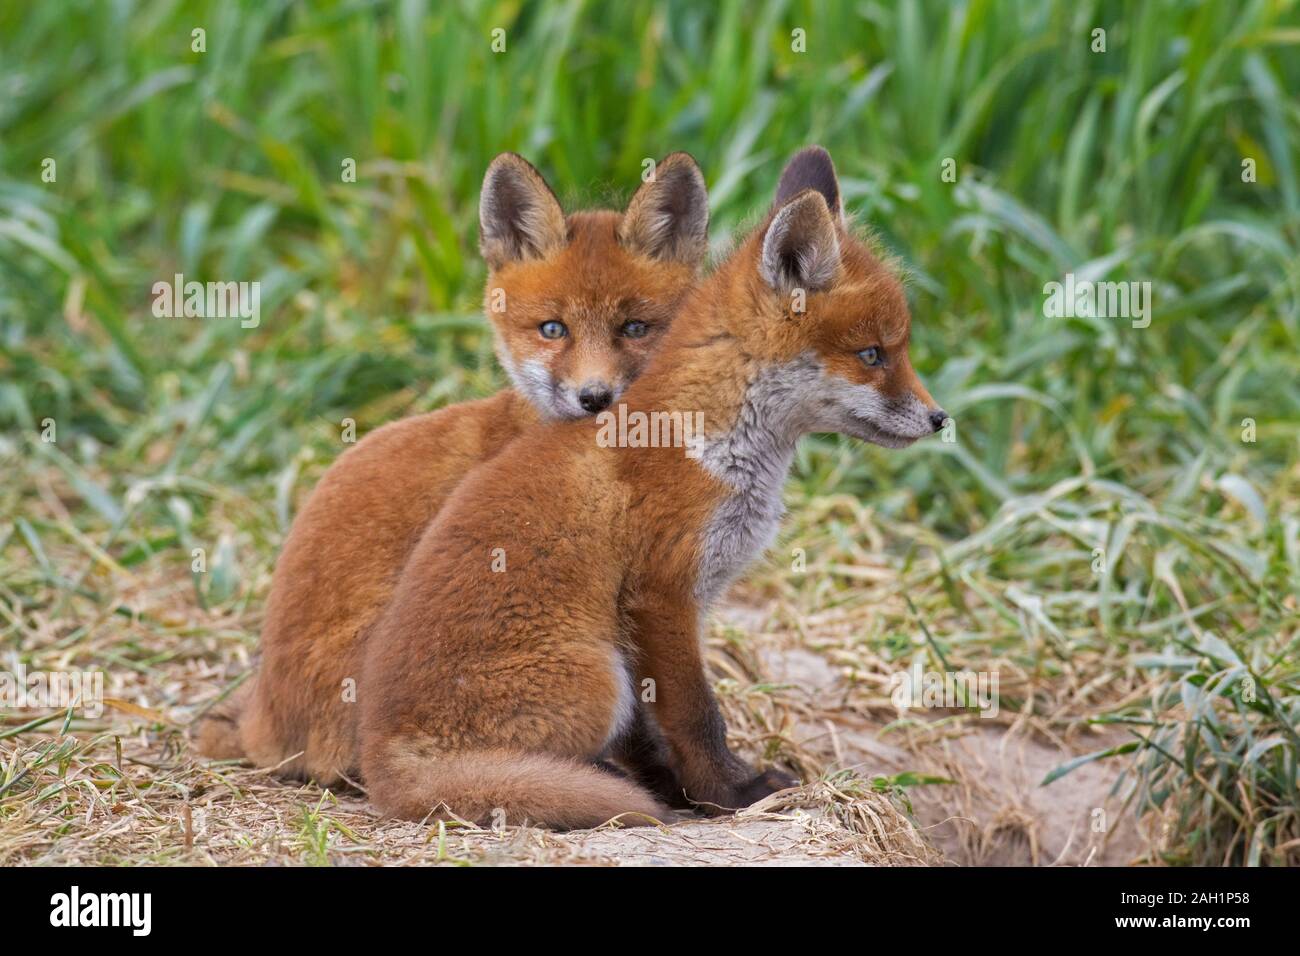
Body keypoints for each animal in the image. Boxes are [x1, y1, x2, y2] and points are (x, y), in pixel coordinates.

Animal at [355, 146, 948, 829]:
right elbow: (697, 717)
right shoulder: (662, 594)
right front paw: (732, 796)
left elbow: (656, 731)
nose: (940, 419)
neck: (714, 444)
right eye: (874, 355)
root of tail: (378, 764)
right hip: (598, 673)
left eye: (895, 350)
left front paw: (683, 788)